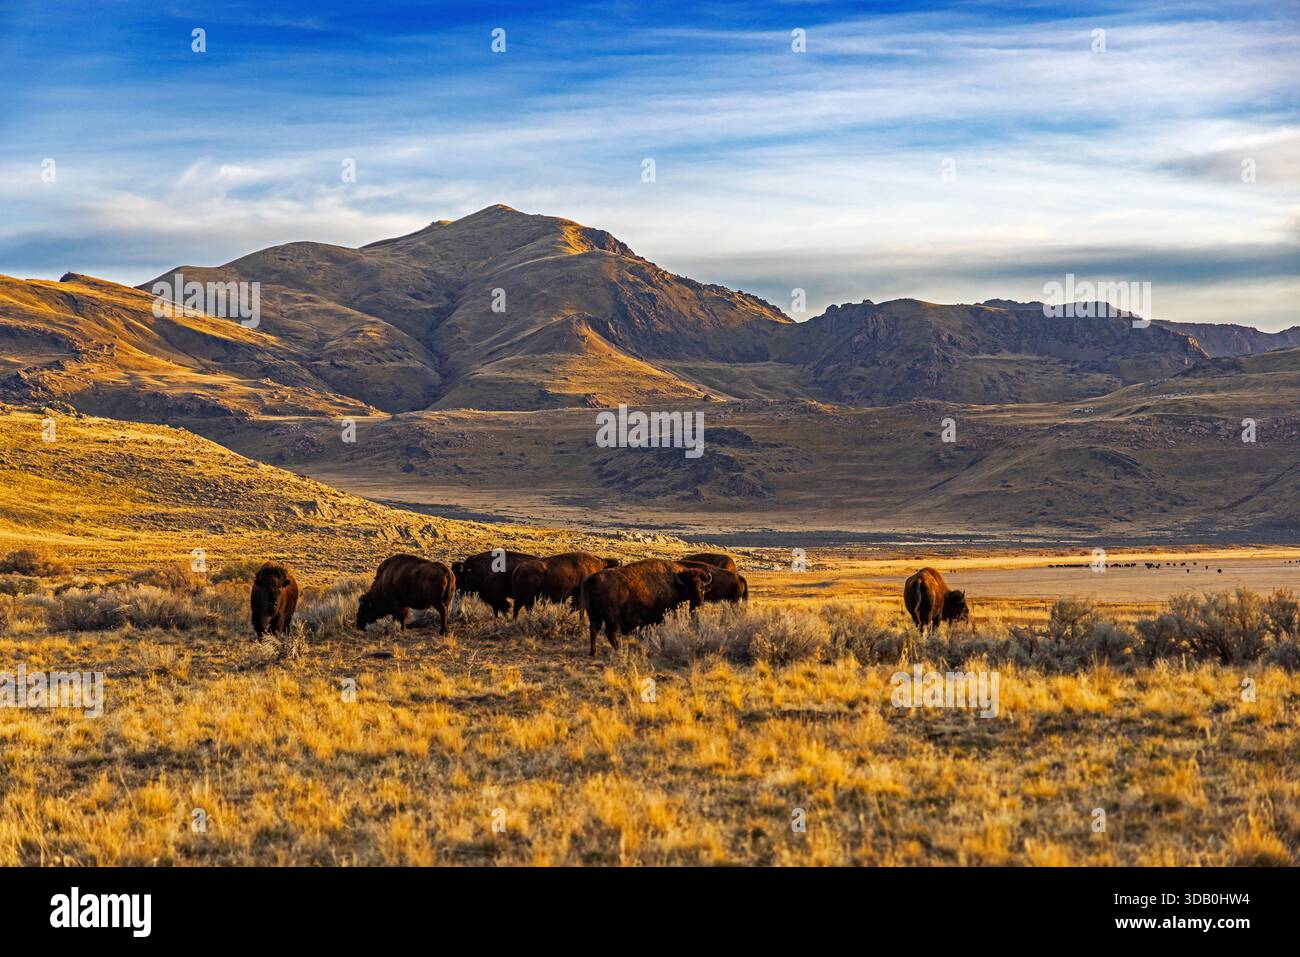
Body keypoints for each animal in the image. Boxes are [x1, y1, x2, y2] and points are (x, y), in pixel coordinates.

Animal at [580, 559, 713, 655]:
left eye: (702, 587)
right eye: (691, 586)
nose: (699, 601)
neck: (675, 582)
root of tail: (591, 581)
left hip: (594, 615)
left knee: (594, 630)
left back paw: (593, 652)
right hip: (610, 617)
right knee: (609, 632)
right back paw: (618, 649)